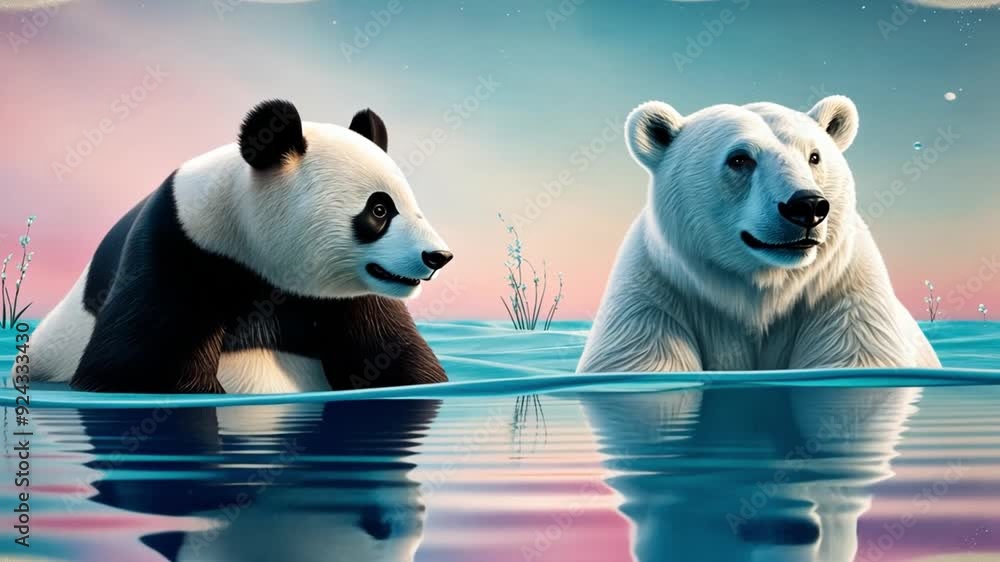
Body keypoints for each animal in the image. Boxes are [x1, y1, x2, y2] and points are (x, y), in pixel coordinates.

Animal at [24, 99, 454, 393]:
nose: (438, 257)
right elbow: (136, 368)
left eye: (412, 203)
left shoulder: (348, 297)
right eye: (379, 209)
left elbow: (395, 357)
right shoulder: (179, 251)